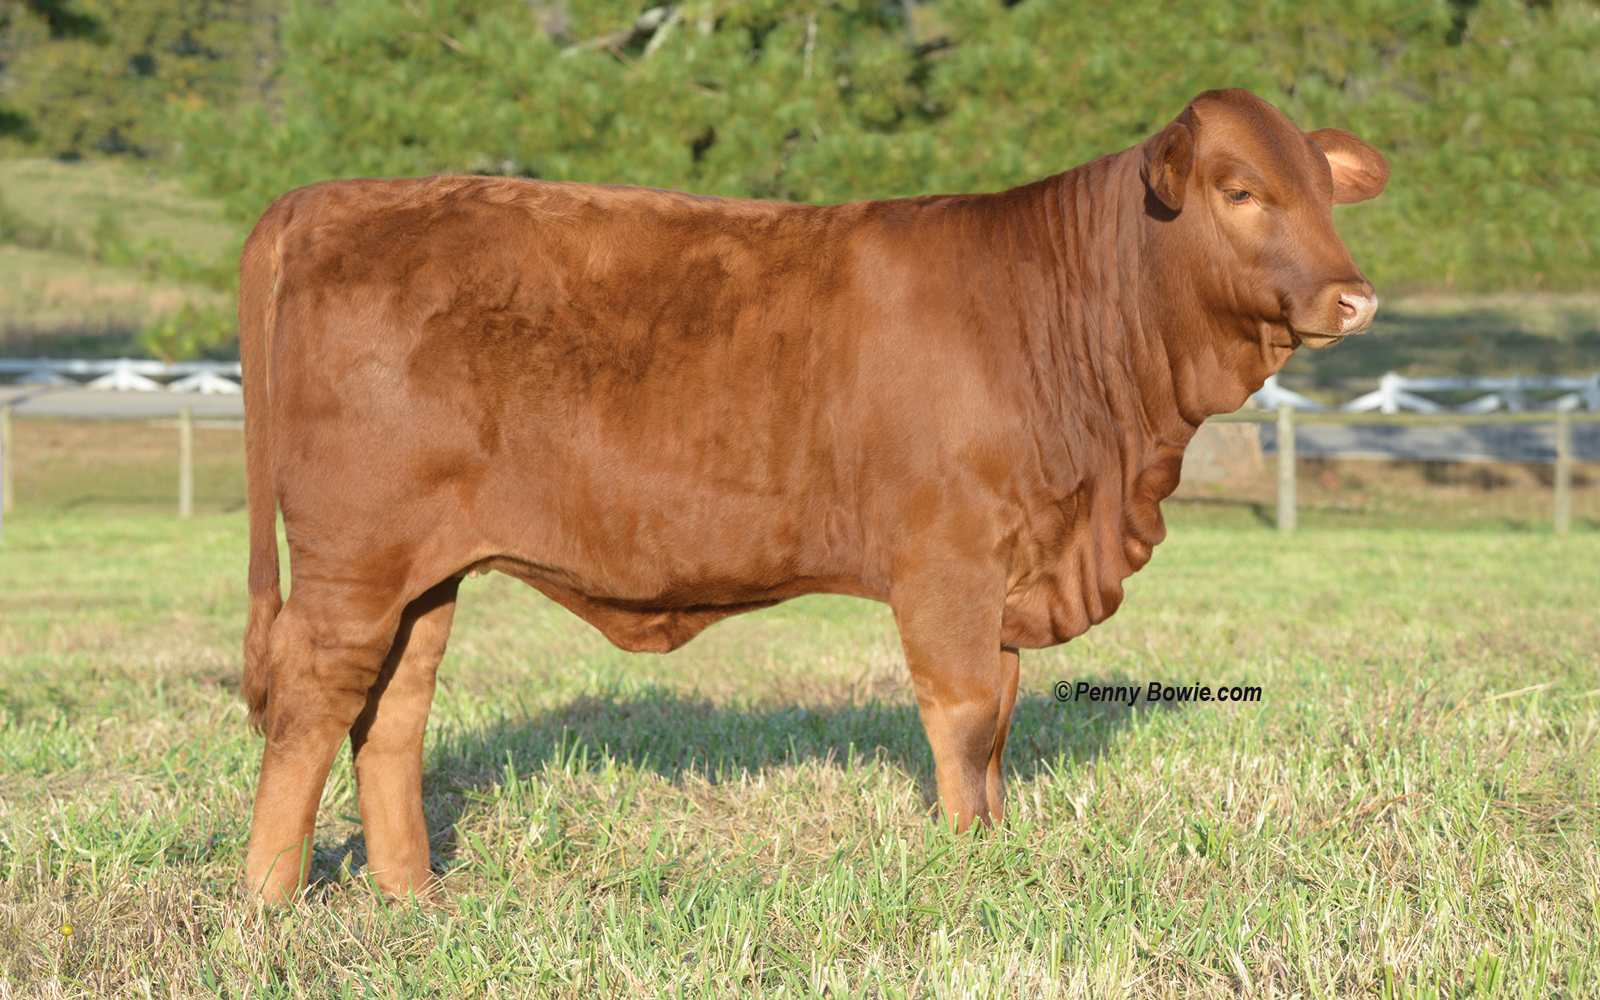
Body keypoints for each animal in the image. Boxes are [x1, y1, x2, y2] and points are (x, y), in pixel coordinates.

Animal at [237, 88, 1388, 900]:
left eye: (1325, 192)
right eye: (1239, 190)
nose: (1356, 297)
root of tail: (327, 198)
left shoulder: (1010, 567)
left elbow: (1003, 720)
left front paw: (997, 844)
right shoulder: (947, 561)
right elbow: (964, 716)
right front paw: (967, 863)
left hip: (423, 572)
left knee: (391, 712)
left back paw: (413, 895)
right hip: (353, 561)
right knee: (312, 701)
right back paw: (268, 901)